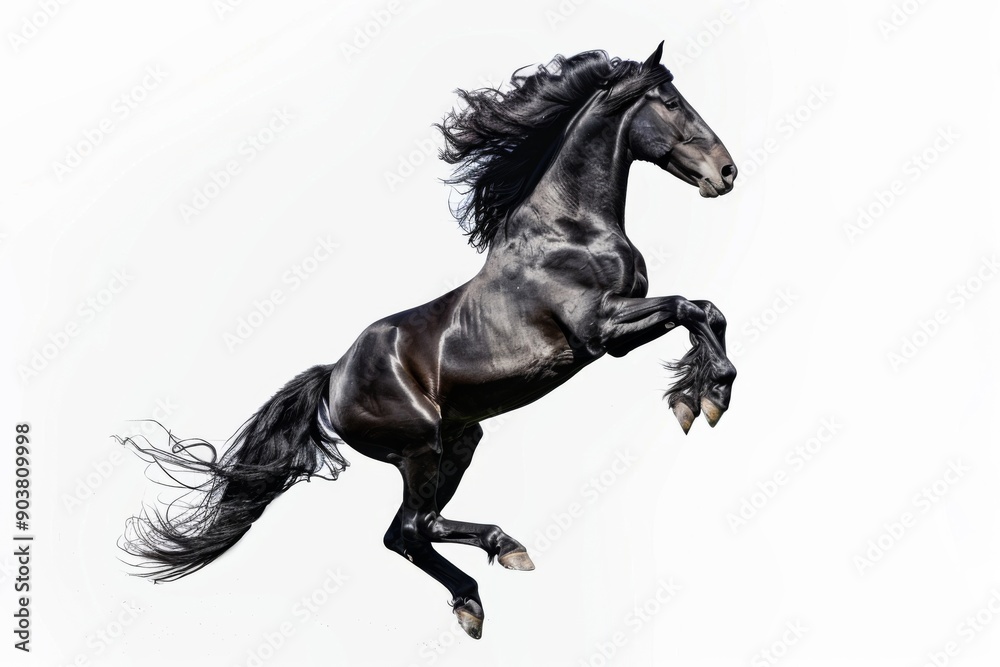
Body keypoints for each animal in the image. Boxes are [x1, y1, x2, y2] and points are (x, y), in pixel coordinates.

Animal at [119, 42, 738, 640]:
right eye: (672, 103)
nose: (727, 172)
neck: (570, 228)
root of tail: (332, 376)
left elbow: (709, 310)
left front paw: (702, 394)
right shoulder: (601, 331)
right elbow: (690, 307)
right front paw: (702, 400)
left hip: (460, 440)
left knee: (407, 532)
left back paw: (481, 586)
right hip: (420, 446)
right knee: (415, 527)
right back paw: (499, 559)